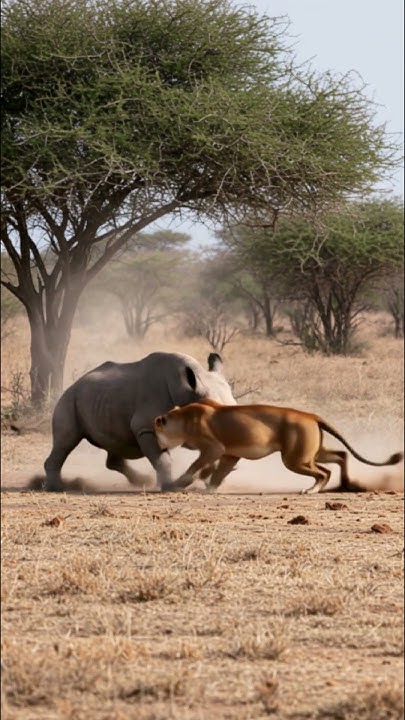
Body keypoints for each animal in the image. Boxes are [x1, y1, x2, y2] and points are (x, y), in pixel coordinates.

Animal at [43, 351, 235, 491]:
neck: (185, 391)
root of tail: (75, 382)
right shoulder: (146, 428)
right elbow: (163, 459)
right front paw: (169, 487)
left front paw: (208, 480)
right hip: (69, 399)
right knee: (66, 442)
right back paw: (57, 487)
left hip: (102, 399)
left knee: (115, 444)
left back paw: (143, 481)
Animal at [153, 400, 403, 493]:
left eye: (156, 432)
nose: (159, 446)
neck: (184, 418)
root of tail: (311, 415)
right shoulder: (230, 454)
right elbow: (217, 474)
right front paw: (210, 489)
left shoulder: (215, 448)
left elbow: (195, 467)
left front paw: (180, 483)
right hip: (312, 454)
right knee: (341, 456)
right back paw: (346, 485)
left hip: (294, 459)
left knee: (323, 472)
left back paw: (311, 490)